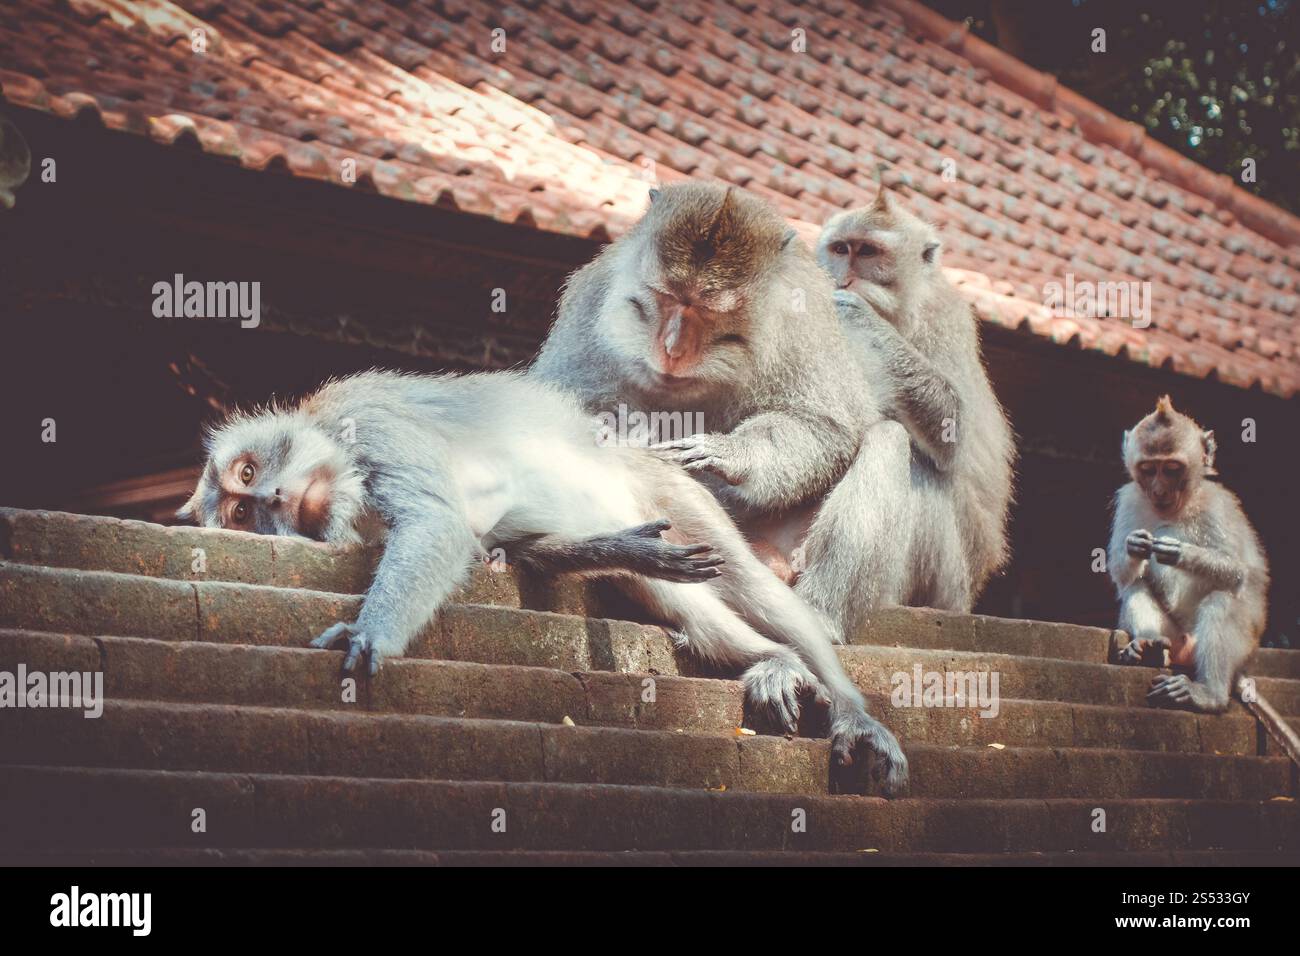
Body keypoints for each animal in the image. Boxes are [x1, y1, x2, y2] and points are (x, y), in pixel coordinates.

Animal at [177, 370, 909, 792]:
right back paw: (772, 660)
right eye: (242, 513)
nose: (270, 498)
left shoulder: (371, 420)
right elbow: (503, 543)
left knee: (753, 586)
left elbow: (437, 521)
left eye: (247, 475)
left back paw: (847, 706)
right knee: (679, 599)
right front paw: (596, 551)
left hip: (669, 489)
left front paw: (371, 633)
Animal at [816, 188, 1016, 611]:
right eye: (841, 249)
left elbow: (954, 430)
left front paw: (858, 313)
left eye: (869, 251)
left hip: (950, 583)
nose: (844, 278)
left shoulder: (944, 318)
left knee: (923, 465)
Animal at [1107, 396, 1269, 713]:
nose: (1158, 490)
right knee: (1136, 584)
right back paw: (1148, 645)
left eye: (1171, 468)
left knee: (1221, 601)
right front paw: (1134, 547)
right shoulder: (1131, 499)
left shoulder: (1215, 506)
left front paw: (1180, 552)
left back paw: (1209, 694)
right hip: (1175, 637)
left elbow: (1237, 572)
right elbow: (1121, 574)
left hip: (1243, 646)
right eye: (1148, 468)